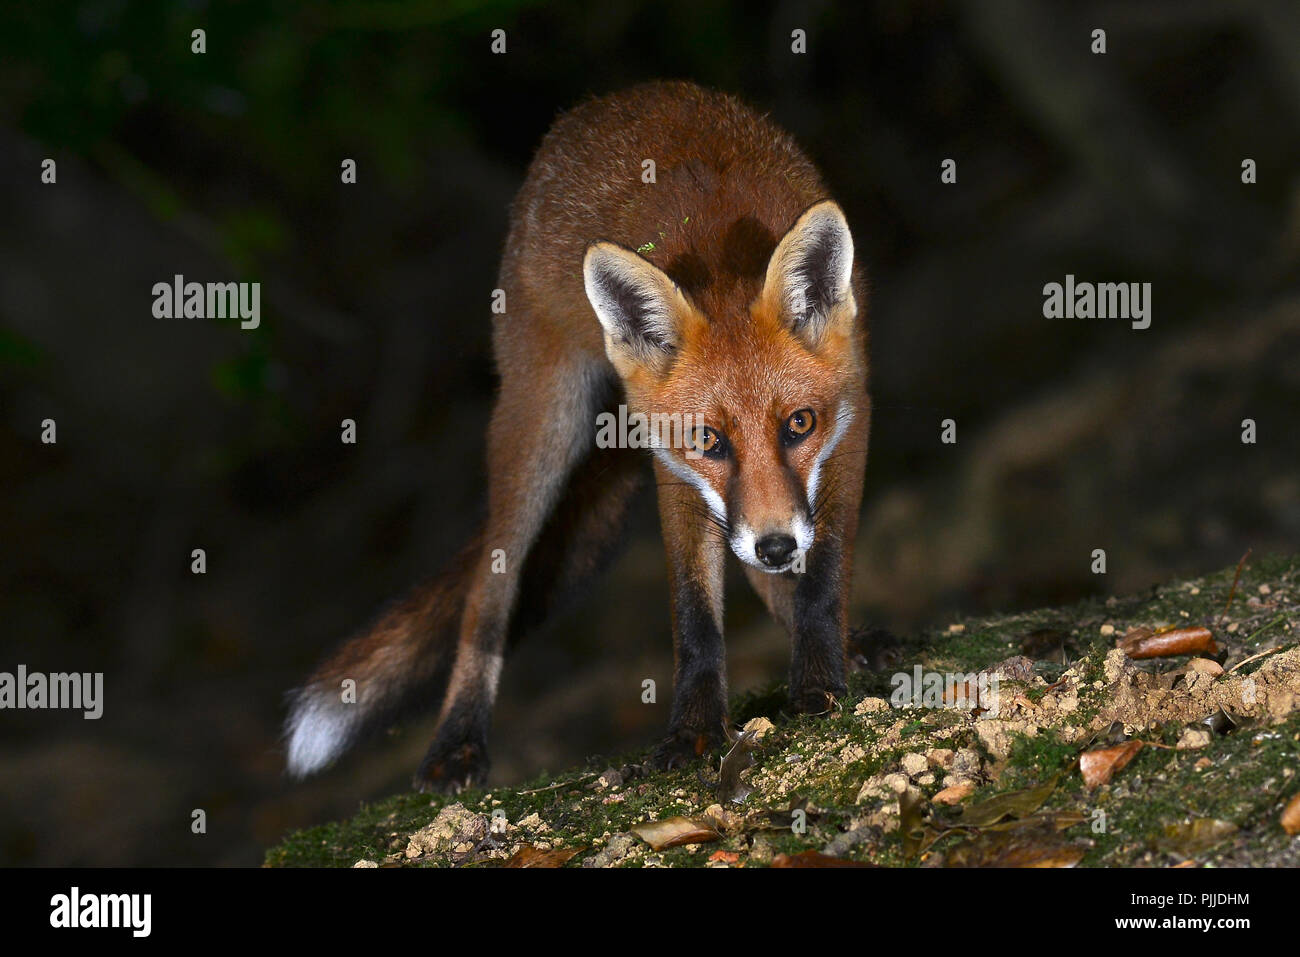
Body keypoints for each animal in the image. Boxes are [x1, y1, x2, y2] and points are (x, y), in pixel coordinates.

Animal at [285, 80, 870, 791]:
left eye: (798, 424)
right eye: (710, 441)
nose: (778, 544)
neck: (717, 245)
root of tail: (615, 97)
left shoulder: (850, 419)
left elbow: (822, 579)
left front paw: (819, 681)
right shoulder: (676, 470)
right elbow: (695, 618)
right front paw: (694, 731)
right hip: (541, 426)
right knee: (487, 591)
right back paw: (456, 743)